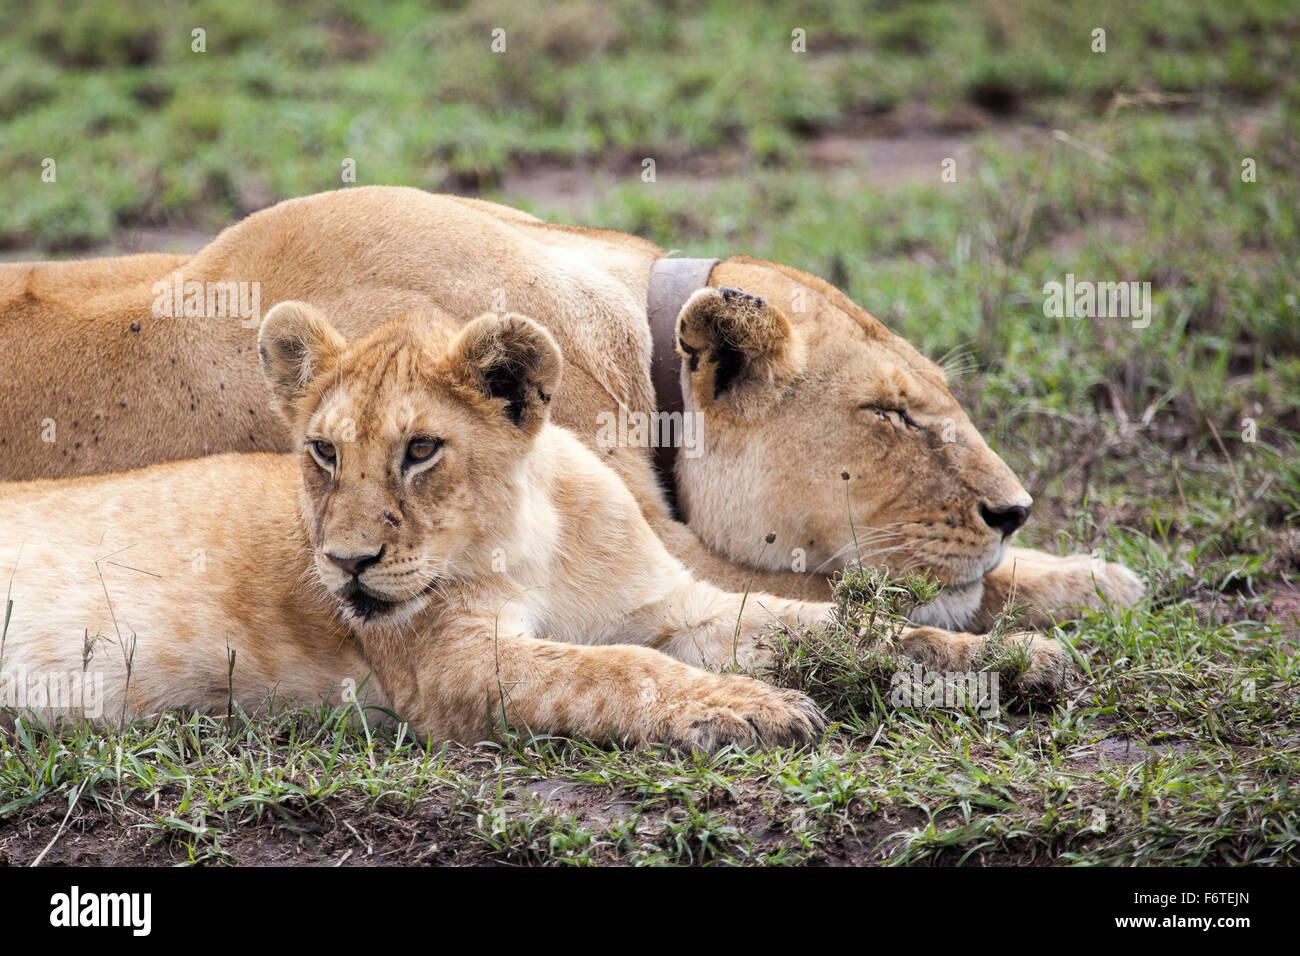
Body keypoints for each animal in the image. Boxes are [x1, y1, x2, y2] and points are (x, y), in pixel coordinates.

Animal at [0, 303, 1066, 747]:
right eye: (323, 452)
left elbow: (845, 626)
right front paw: (749, 710)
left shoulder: (673, 607)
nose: (345, 564)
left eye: (421, 450)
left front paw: (1013, 660)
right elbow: (618, 671)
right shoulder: (450, 670)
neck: (532, 535)